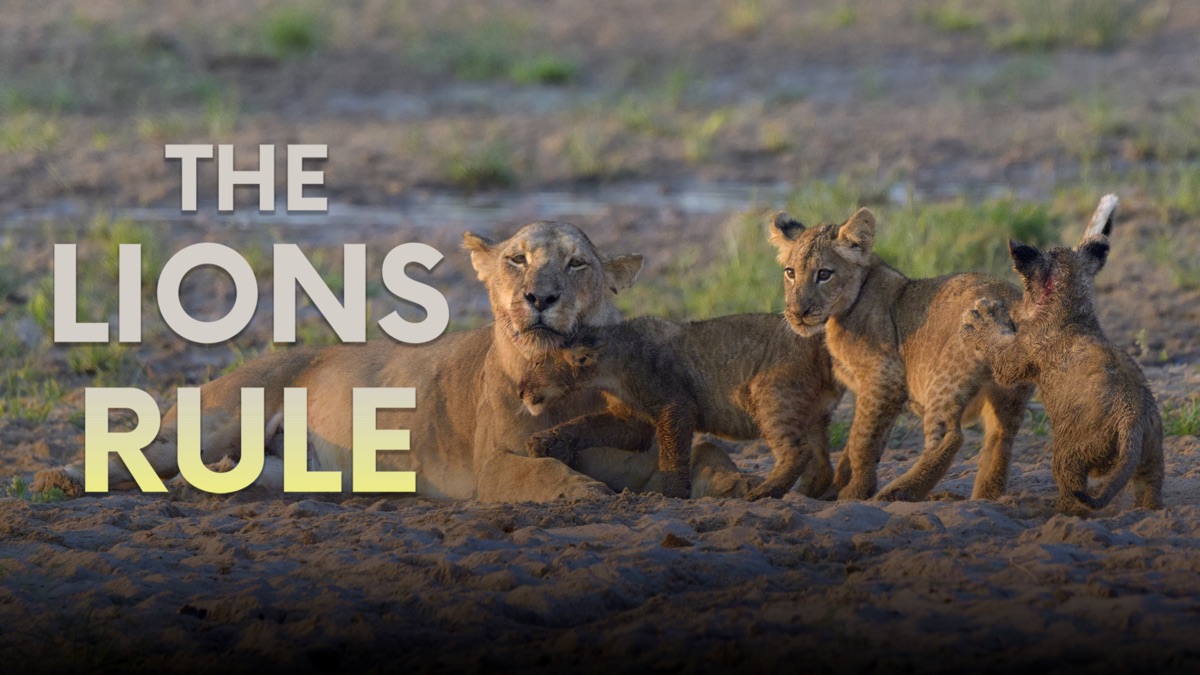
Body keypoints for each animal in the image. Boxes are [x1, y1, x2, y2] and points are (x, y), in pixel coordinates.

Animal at [33, 221, 754, 502]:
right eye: (516, 259)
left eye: (578, 263)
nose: (539, 296)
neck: (566, 375)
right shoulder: (494, 465)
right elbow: (541, 473)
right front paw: (581, 492)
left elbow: (695, 452)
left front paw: (725, 479)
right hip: (217, 412)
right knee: (142, 448)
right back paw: (58, 478)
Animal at [517, 314, 843, 500]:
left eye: (537, 363)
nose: (519, 391)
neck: (604, 370)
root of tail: (820, 340)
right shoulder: (632, 422)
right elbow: (585, 424)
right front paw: (545, 442)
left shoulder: (675, 406)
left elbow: (672, 455)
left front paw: (672, 495)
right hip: (815, 412)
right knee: (820, 460)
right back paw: (808, 494)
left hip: (770, 394)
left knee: (798, 451)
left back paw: (765, 492)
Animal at [769, 208, 1034, 502]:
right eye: (790, 273)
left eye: (824, 274)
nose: (797, 313)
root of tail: (1012, 302)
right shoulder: (879, 393)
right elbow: (864, 442)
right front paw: (840, 487)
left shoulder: (885, 376)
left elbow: (861, 439)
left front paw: (854, 493)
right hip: (1009, 393)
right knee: (1001, 439)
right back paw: (985, 498)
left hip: (944, 375)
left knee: (949, 437)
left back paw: (896, 493)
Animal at [961, 195, 1163, 515]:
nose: (1015, 311)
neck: (1072, 307)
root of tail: (1131, 421)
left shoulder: (1019, 356)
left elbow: (999, 348)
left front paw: (981, 319)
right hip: (1153, 455)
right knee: (1149, 490)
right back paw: (1146, 514)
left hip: (1071, 452)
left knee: (1072, 489)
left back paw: (1060, 512)